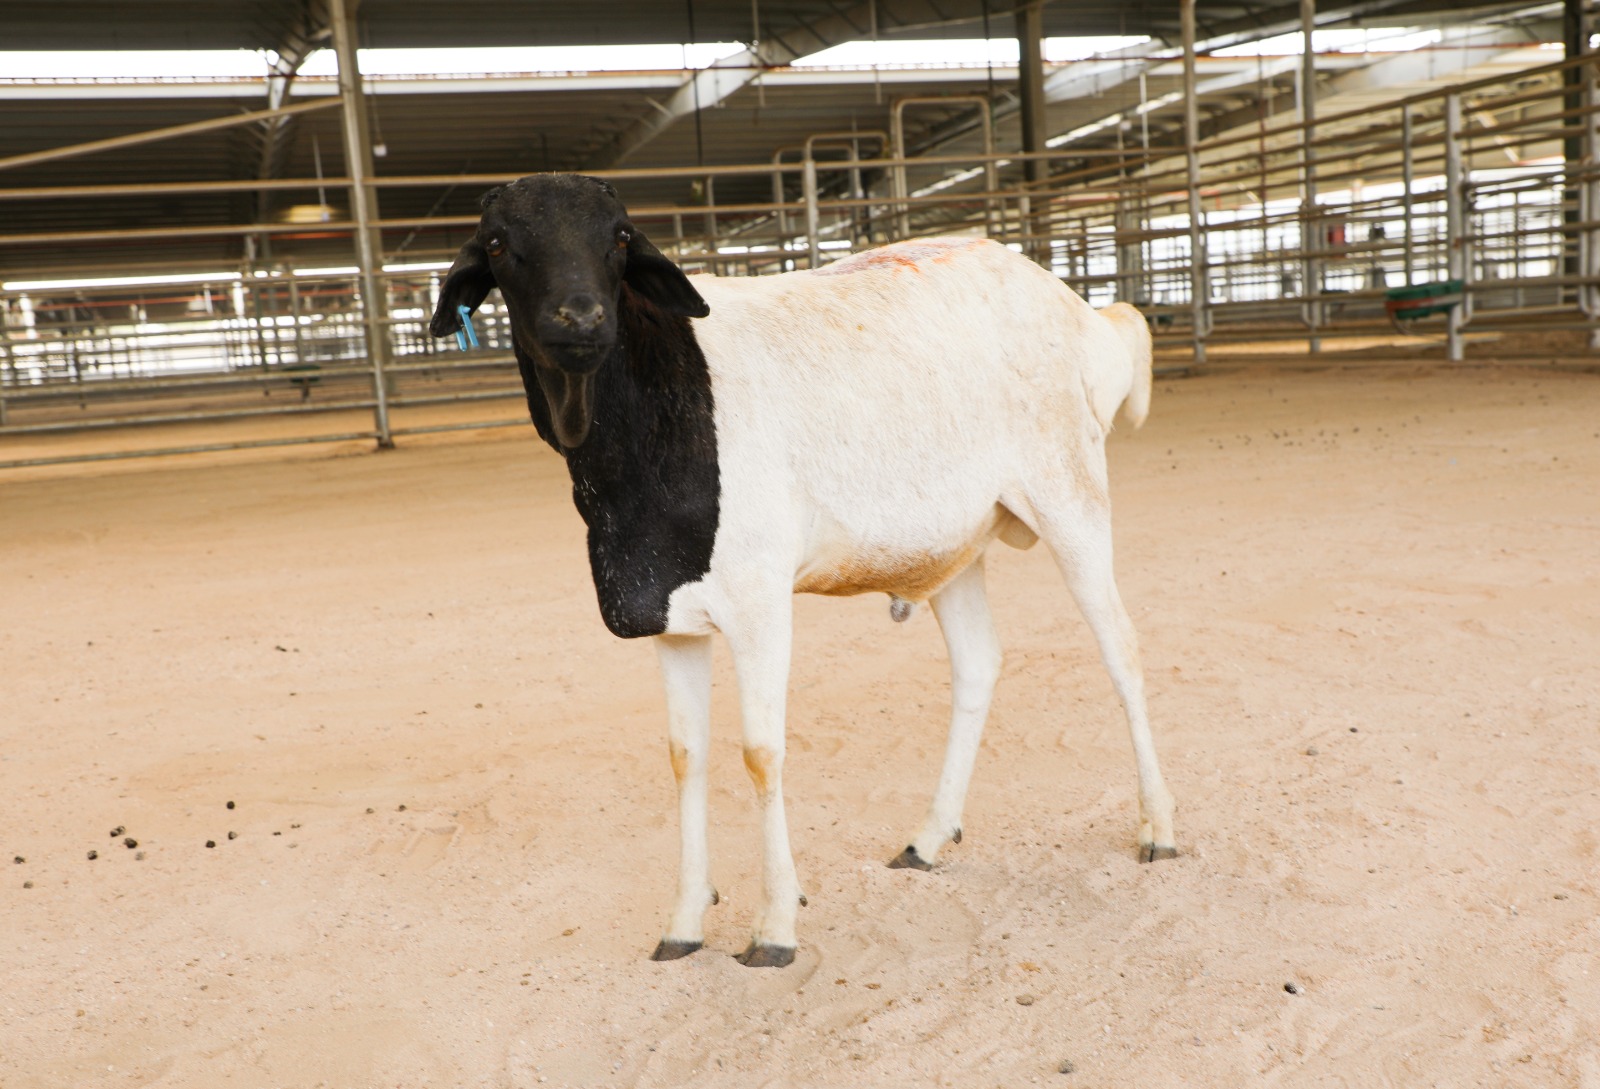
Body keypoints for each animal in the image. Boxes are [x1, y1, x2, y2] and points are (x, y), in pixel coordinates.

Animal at [429, 173, 1176, 968]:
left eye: (621, 236)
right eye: (499, 244)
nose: (580, 316)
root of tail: (1081, 310)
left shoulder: (759, 601)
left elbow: (760, 752)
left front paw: (776, 926)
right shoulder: (668, 612)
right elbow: (685, 755)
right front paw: (684, 919)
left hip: (1070, 493)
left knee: (1122, 648)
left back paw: (1158, 827)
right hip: (954, 543)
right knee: (979, 663)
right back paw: (928, 838)